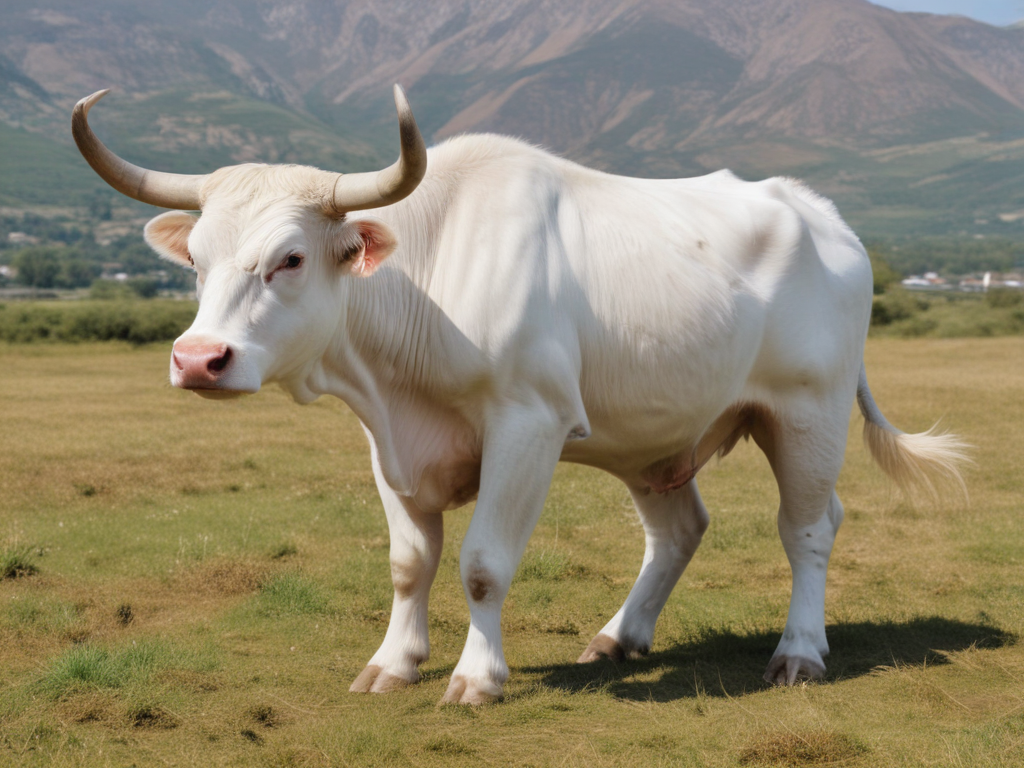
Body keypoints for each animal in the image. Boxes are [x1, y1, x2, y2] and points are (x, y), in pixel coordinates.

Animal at [72, 86, 967, 704]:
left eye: (290, 258)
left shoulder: (527, 425)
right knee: (679, 531)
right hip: (653, 439)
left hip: (809, 413)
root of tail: (827, 221)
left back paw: (800, 651)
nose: (199, 360)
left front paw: (477, 677)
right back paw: (618, 636)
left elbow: (481, 565)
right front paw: (393, 663)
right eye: (196, 257)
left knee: (809, 528)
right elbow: (409, 562)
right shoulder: (386, 441)